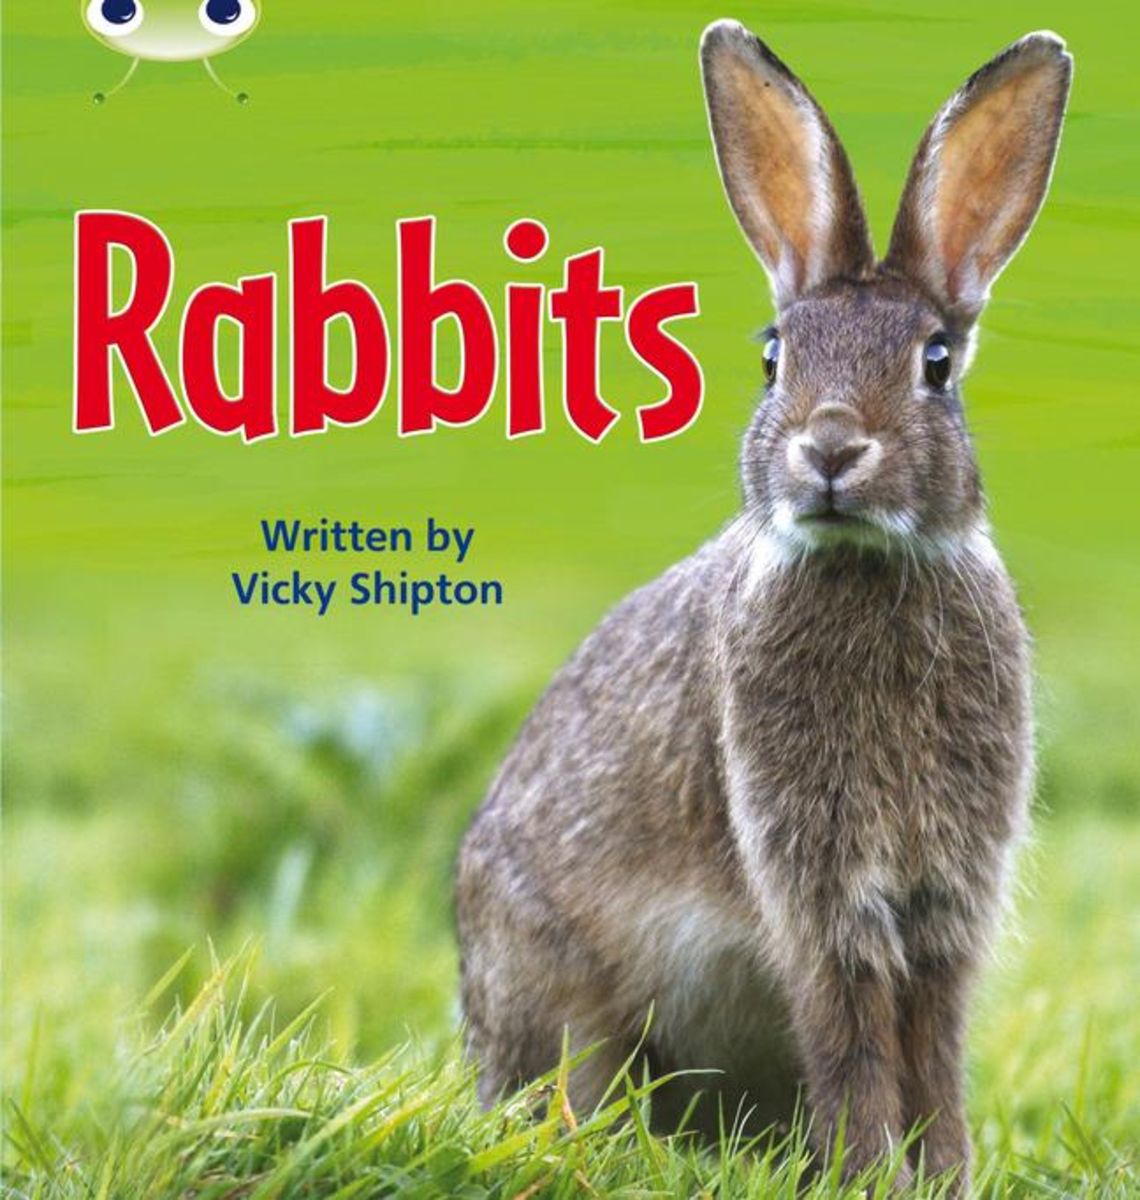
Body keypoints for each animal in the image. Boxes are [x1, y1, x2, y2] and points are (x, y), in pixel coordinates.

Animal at [456, 18, 1070, 1189]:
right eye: (775, 357)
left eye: (936, 364)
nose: (829, 449)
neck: (867, 565)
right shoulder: (818, 889)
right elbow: (854, 1032)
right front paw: (873, 1172)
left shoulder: (943, 902)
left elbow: (932, 1040)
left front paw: (941, 1173)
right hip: (563, 997)